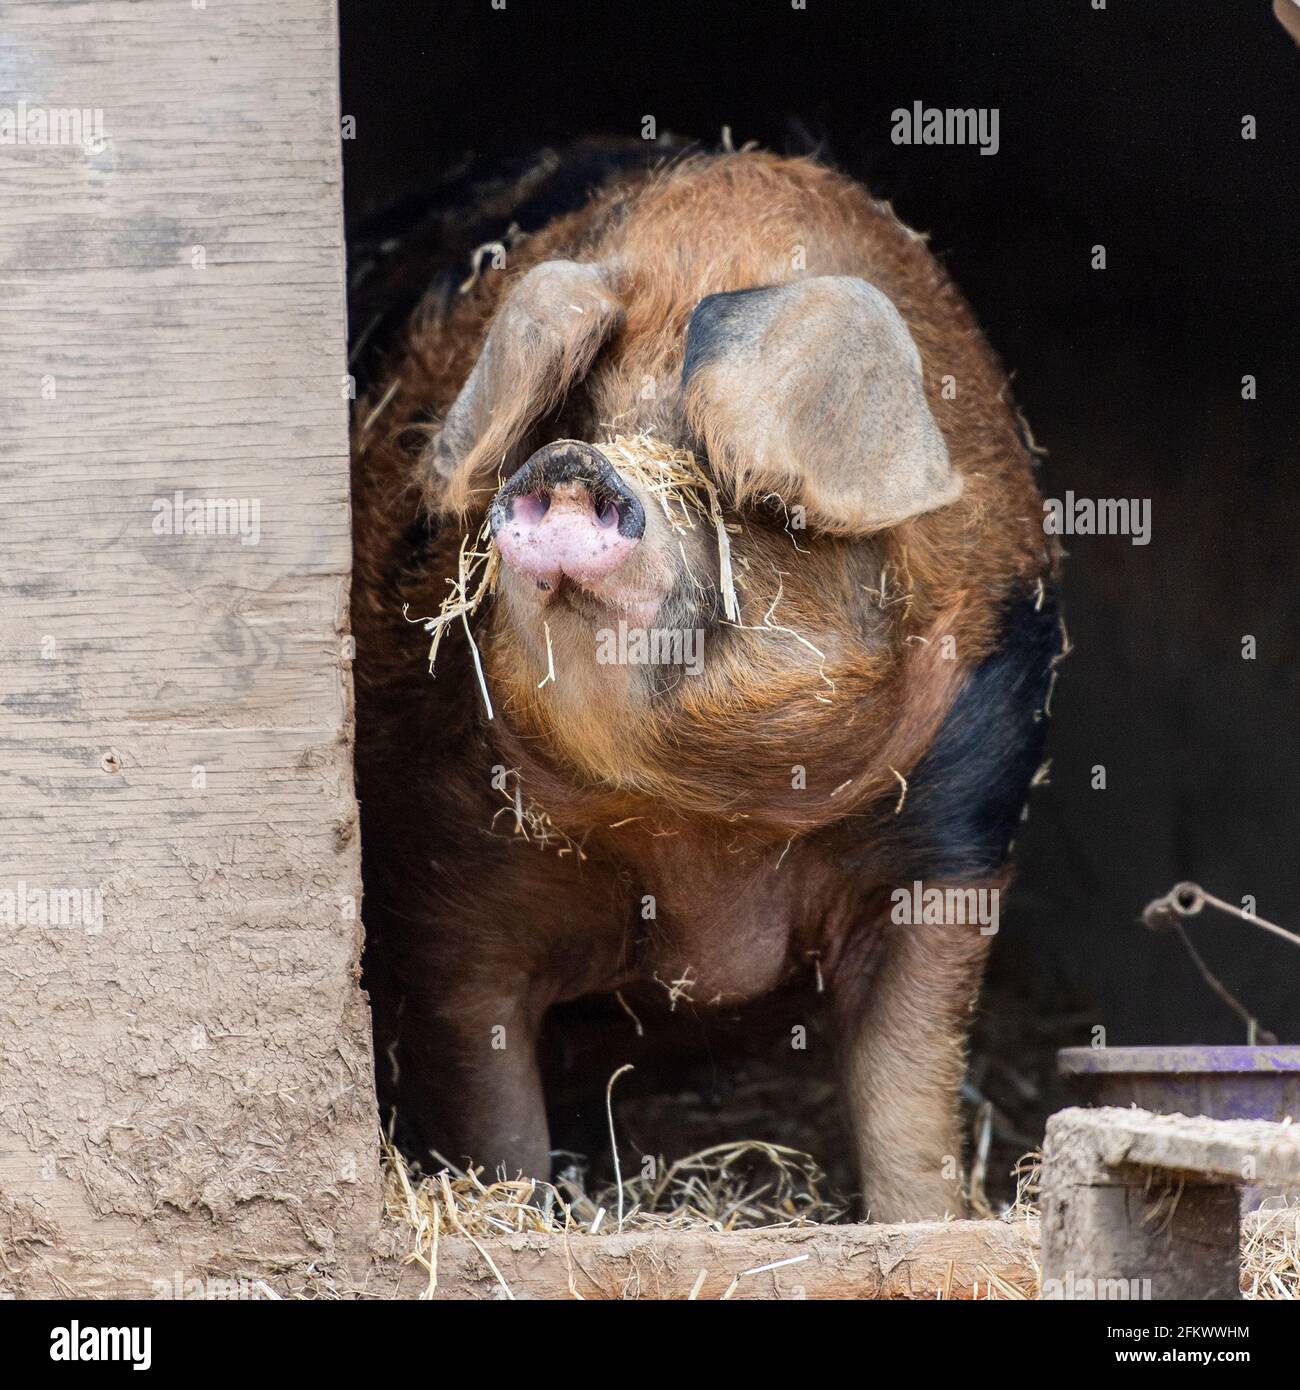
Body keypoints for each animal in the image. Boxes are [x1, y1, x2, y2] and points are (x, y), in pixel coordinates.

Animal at [351, 147, 1061, 1221]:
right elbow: (491, 1096)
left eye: (732, 484)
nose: (570, 461)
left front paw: (927, 1223)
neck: (701, 834)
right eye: (575, 418)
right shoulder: (447, 877)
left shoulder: (958, 836)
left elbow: (906, 1081)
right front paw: (530, 1210)